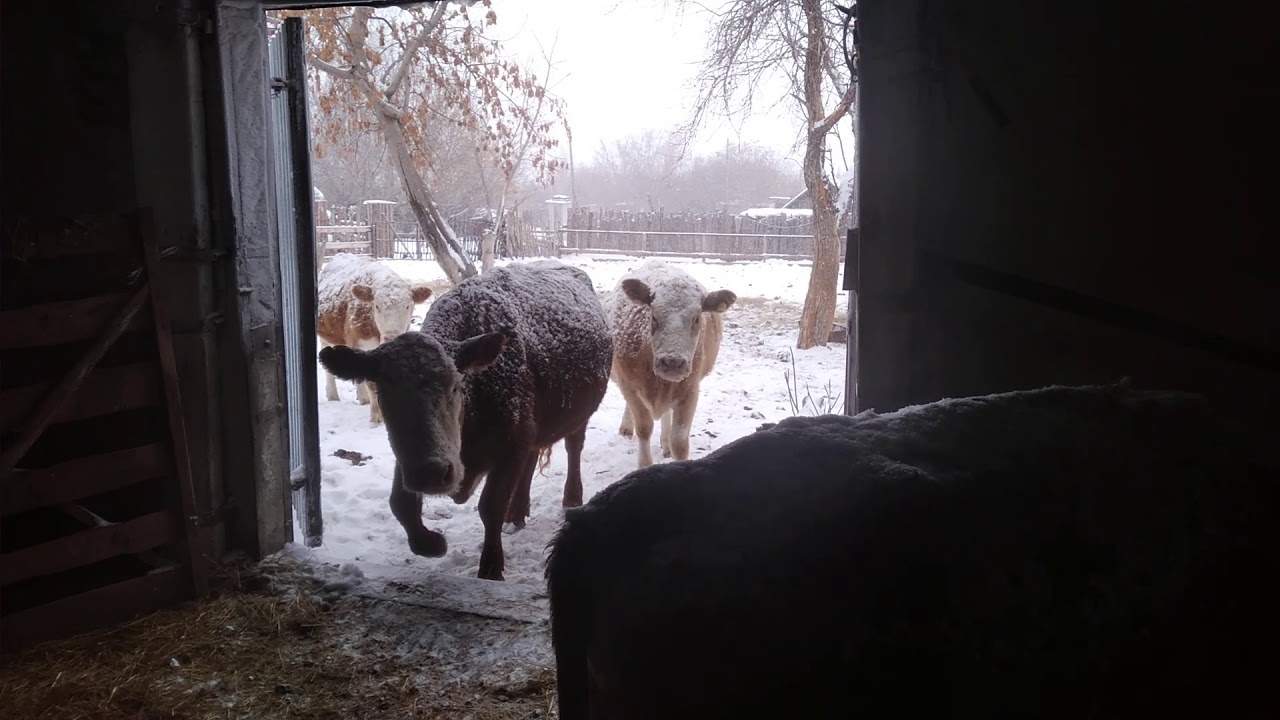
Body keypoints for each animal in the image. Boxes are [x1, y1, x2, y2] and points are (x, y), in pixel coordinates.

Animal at [316, 252, 434, 424]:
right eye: (377, 306)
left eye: (407, 306)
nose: (391, 336)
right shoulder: (364, 344)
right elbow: (371, 382)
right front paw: (377, 416)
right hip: (327, 335)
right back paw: (333, 395)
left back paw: (362, 397)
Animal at [603, 259, 736, 469]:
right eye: (654, 316)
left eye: (696, 318)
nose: (672, 362)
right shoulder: (630, 387)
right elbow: (644, 428)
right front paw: (644, 466)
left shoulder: (690, 391)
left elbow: (679, 441)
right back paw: (626, 428)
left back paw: (665, 444)